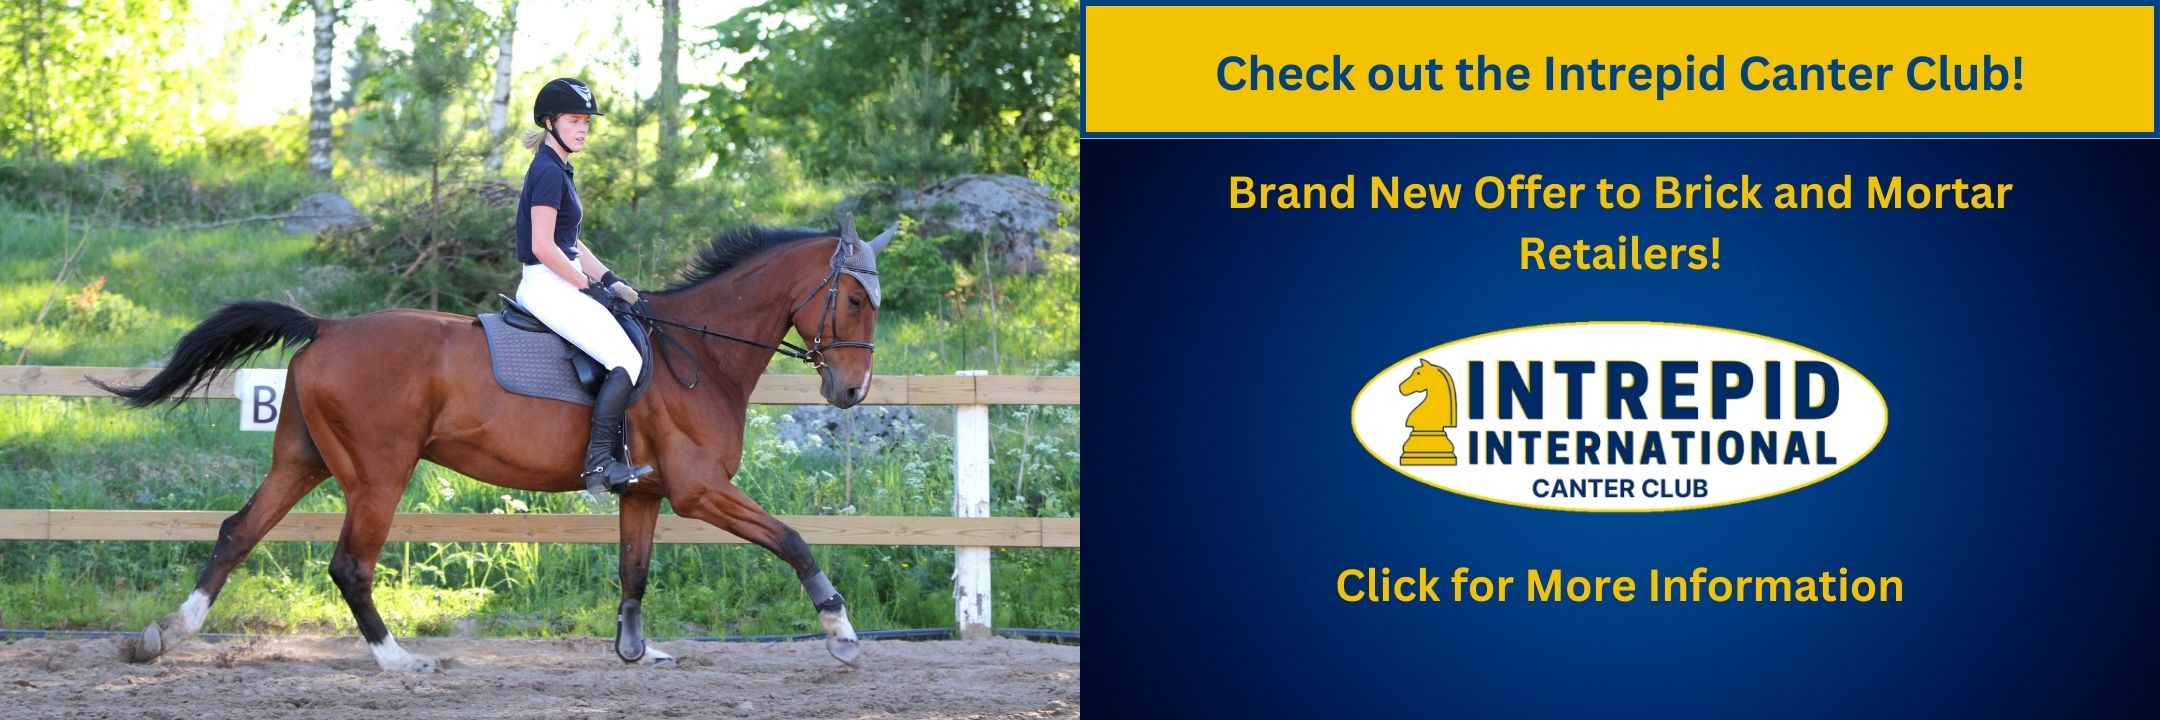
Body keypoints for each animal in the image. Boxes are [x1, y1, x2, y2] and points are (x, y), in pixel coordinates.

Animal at [94, 218, 892, 672]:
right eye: (854, 299)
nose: (851, 392)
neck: (700, 351)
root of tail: (327, 326)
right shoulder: (699, 491)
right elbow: (793, 540)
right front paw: (841, 630)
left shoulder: (645, 492)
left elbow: (634, 573)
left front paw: (635, 650)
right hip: (378, 474)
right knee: (350, 564)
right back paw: (397, 661)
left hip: (302, 460)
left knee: (237, 532)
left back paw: (165, 635)